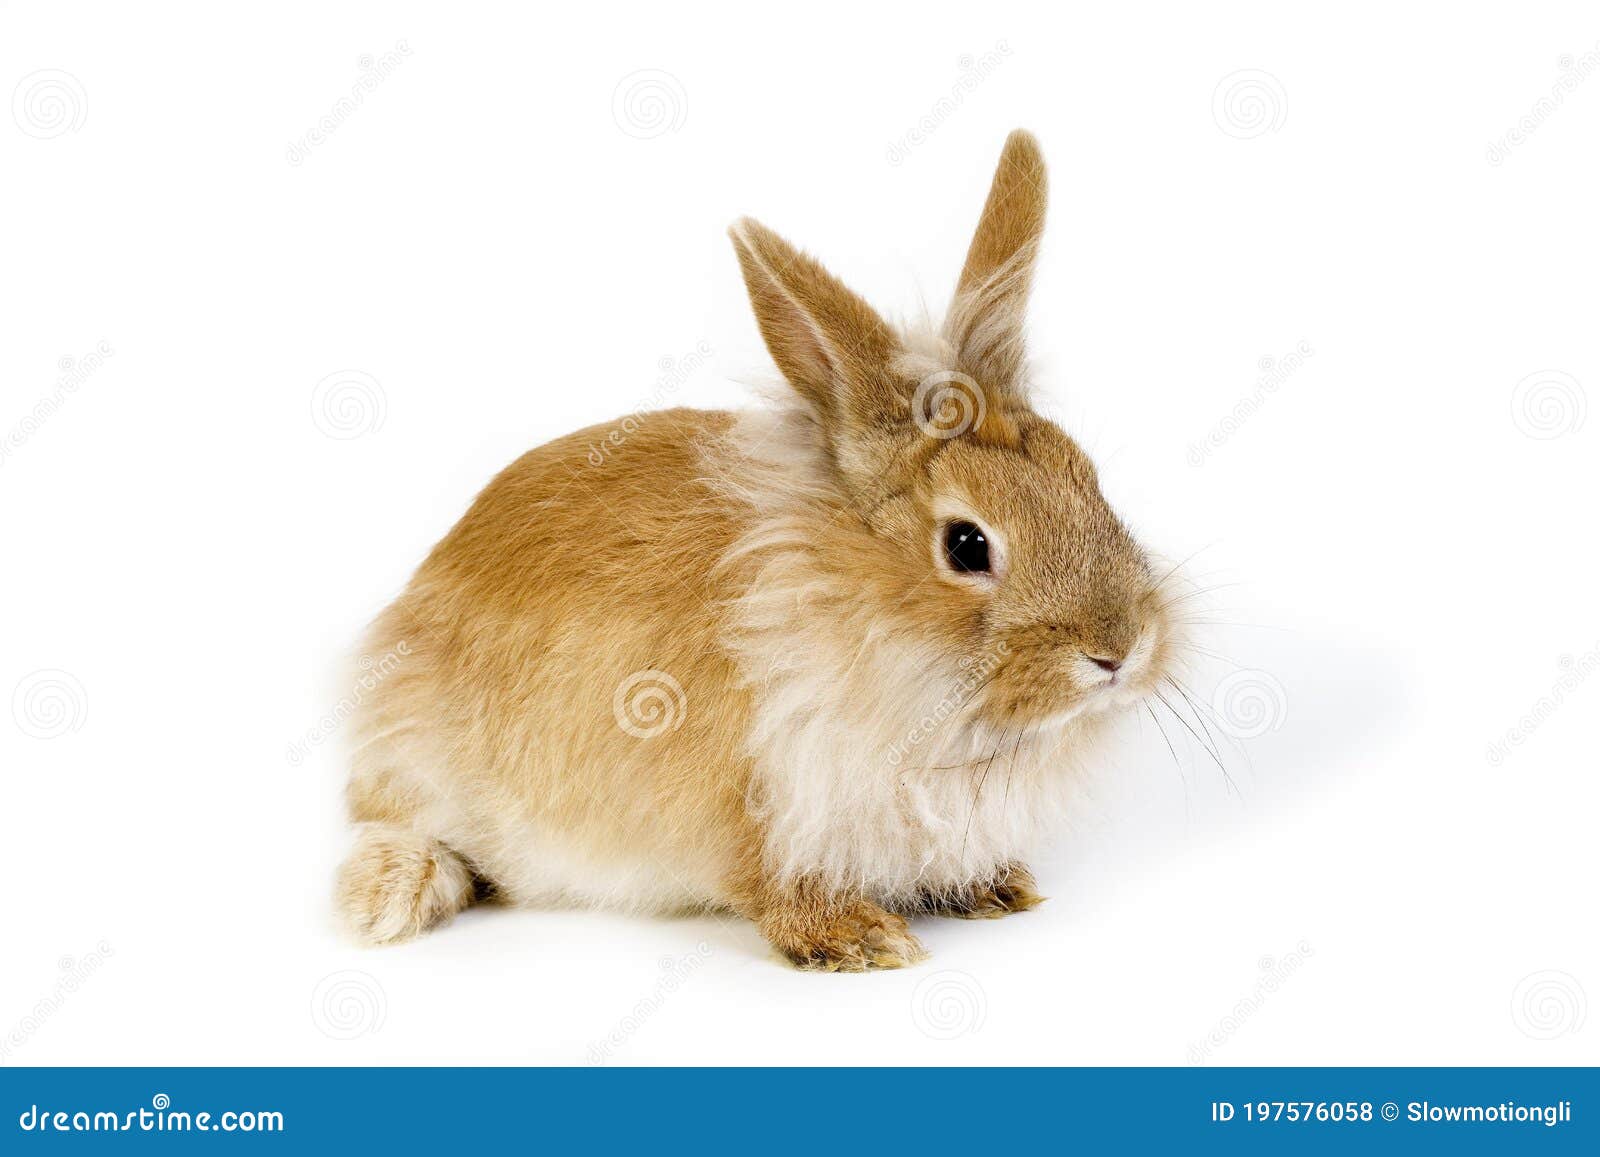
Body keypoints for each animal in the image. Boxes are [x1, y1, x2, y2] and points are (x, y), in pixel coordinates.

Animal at [335, 130, 1185, 970]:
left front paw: (995, 887)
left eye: (1089, 477)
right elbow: (771, 882)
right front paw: (858, 937)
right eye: (967, 545)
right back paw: (389, 896)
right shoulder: (749, 803)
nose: (1122, 650)